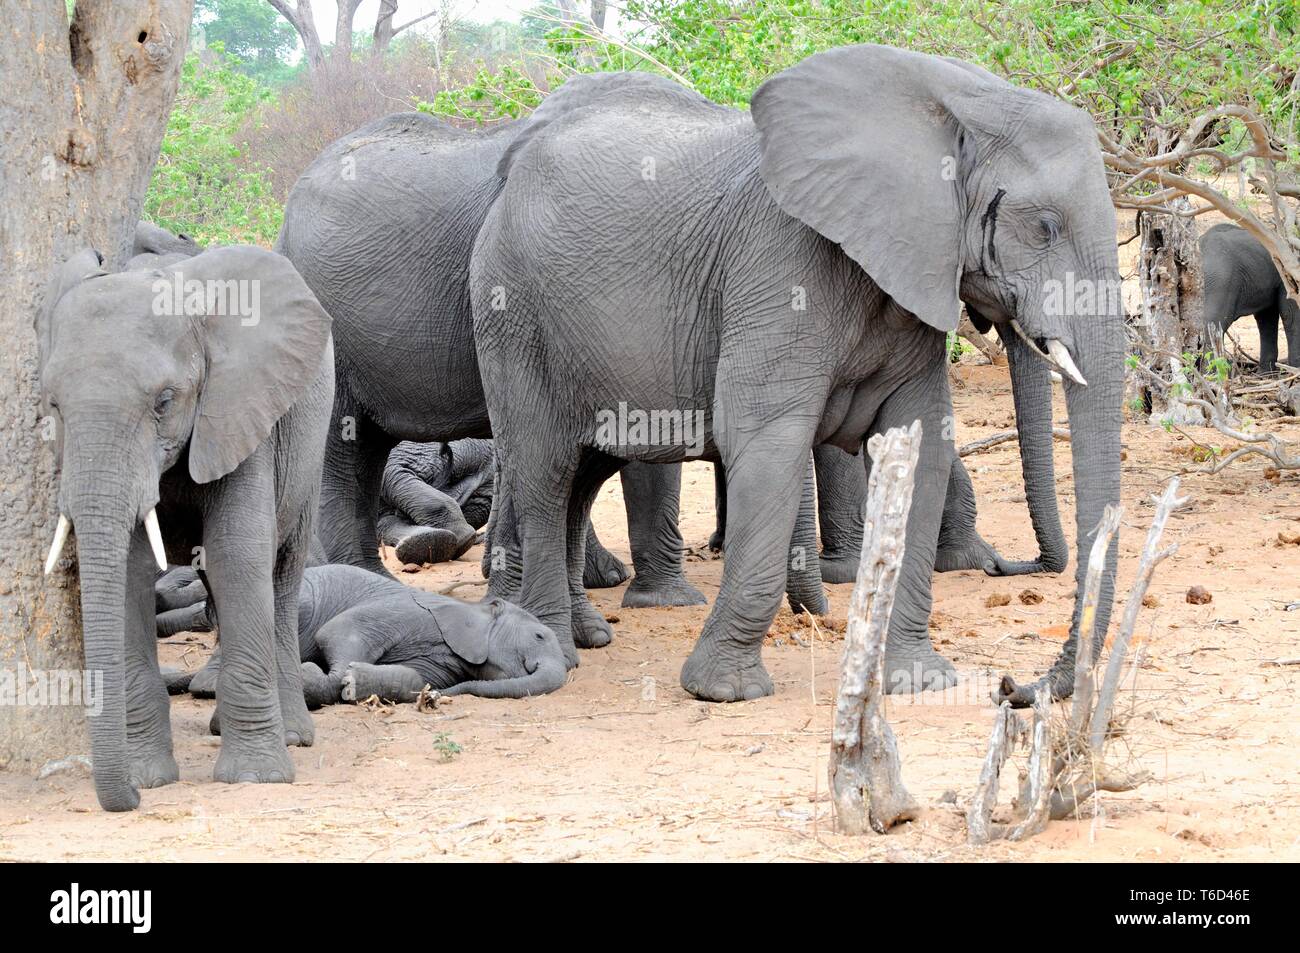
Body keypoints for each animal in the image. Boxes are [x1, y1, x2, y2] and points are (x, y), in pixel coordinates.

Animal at [38, 244, 334, 810]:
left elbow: (236, 555)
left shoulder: (241, 409)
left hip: (310, 446)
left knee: (281, 573)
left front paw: (255, 779)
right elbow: (131, 570)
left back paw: (292, 736)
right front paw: (149, 777)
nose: (130, 799)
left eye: (164, 401)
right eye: (54, 406)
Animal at [469, 48, 1123, 704]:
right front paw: (723, 691)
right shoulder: (778, 265)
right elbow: (767, 442)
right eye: (1043, 226)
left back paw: (585, 638)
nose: (1018, 687)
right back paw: (559, 656)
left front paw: (917, 681)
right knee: (547, 472)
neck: (954, 100)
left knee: (583, 475)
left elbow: (923, 449)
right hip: (510, 311)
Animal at [1200, 222, 1300, 373]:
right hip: (1221, 280)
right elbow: (1289, 314)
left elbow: (1267, 318)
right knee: (1215, 321)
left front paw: (1266, 374)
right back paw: (1211, 374)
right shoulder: (1285, 273)